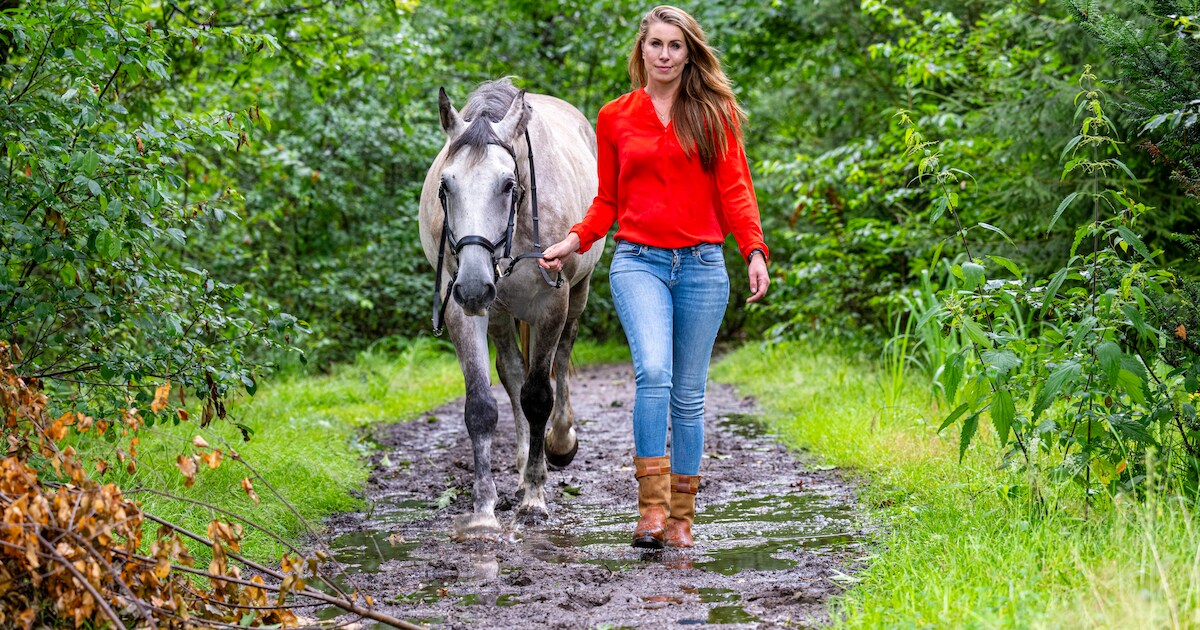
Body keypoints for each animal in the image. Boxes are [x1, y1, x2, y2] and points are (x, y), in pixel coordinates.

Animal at [418, 79, 603, 535]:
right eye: (446, 186)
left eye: (507, 185)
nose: (472, 284)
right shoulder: (462, 310)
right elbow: (483, 407)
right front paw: (484, 511)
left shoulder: (552, 302)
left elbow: (538, 396)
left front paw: (535, 499)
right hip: (499, 311)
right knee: (512, 371)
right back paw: (520, 468)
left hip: (577, 293)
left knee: (561, 359)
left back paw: (558, 444)